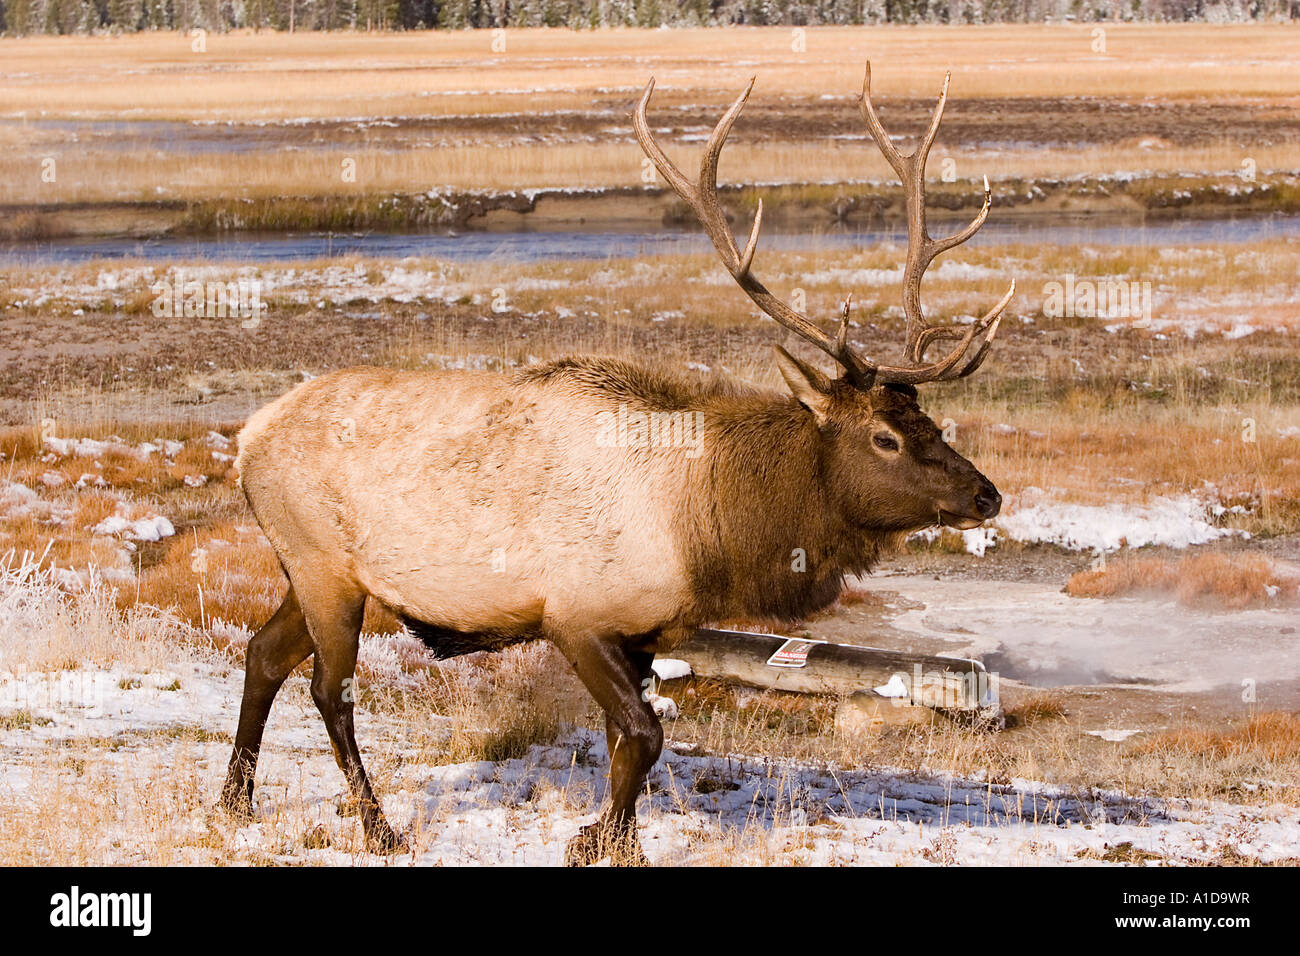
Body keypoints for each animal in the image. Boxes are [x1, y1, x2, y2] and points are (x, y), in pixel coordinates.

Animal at [219, 62, 1013, 865]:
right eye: (884, 437)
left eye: (929, 421)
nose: (986, 495)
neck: (705, 527)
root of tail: (248, 438)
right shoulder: (576, 614)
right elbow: (644, 733)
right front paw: (592, 838)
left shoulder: (641, 634)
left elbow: (624, 742)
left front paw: (619, 838)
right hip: (323, 565)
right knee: (329, 690)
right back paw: (376, 825)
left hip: (316, 570)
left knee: (262, 654)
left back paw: (236, 800)